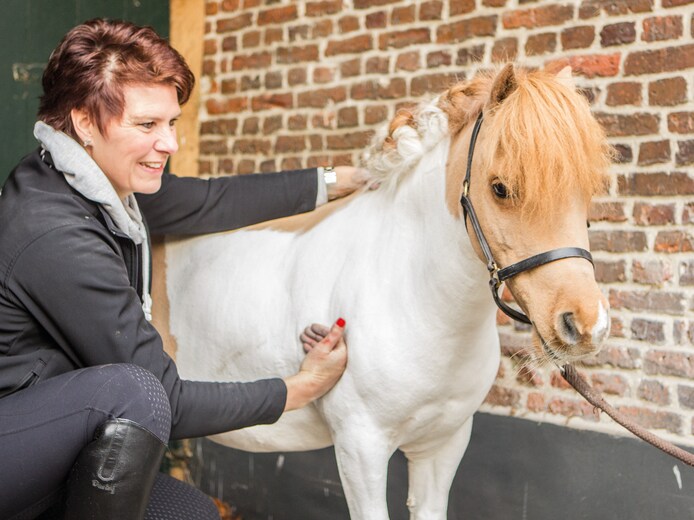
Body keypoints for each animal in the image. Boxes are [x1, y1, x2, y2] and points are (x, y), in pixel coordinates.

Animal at [159, 64, 613, 519]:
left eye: (588, 190)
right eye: (500, 187)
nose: (584, 325)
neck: (414, 299)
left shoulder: (442, 446)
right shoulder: (360, 450)